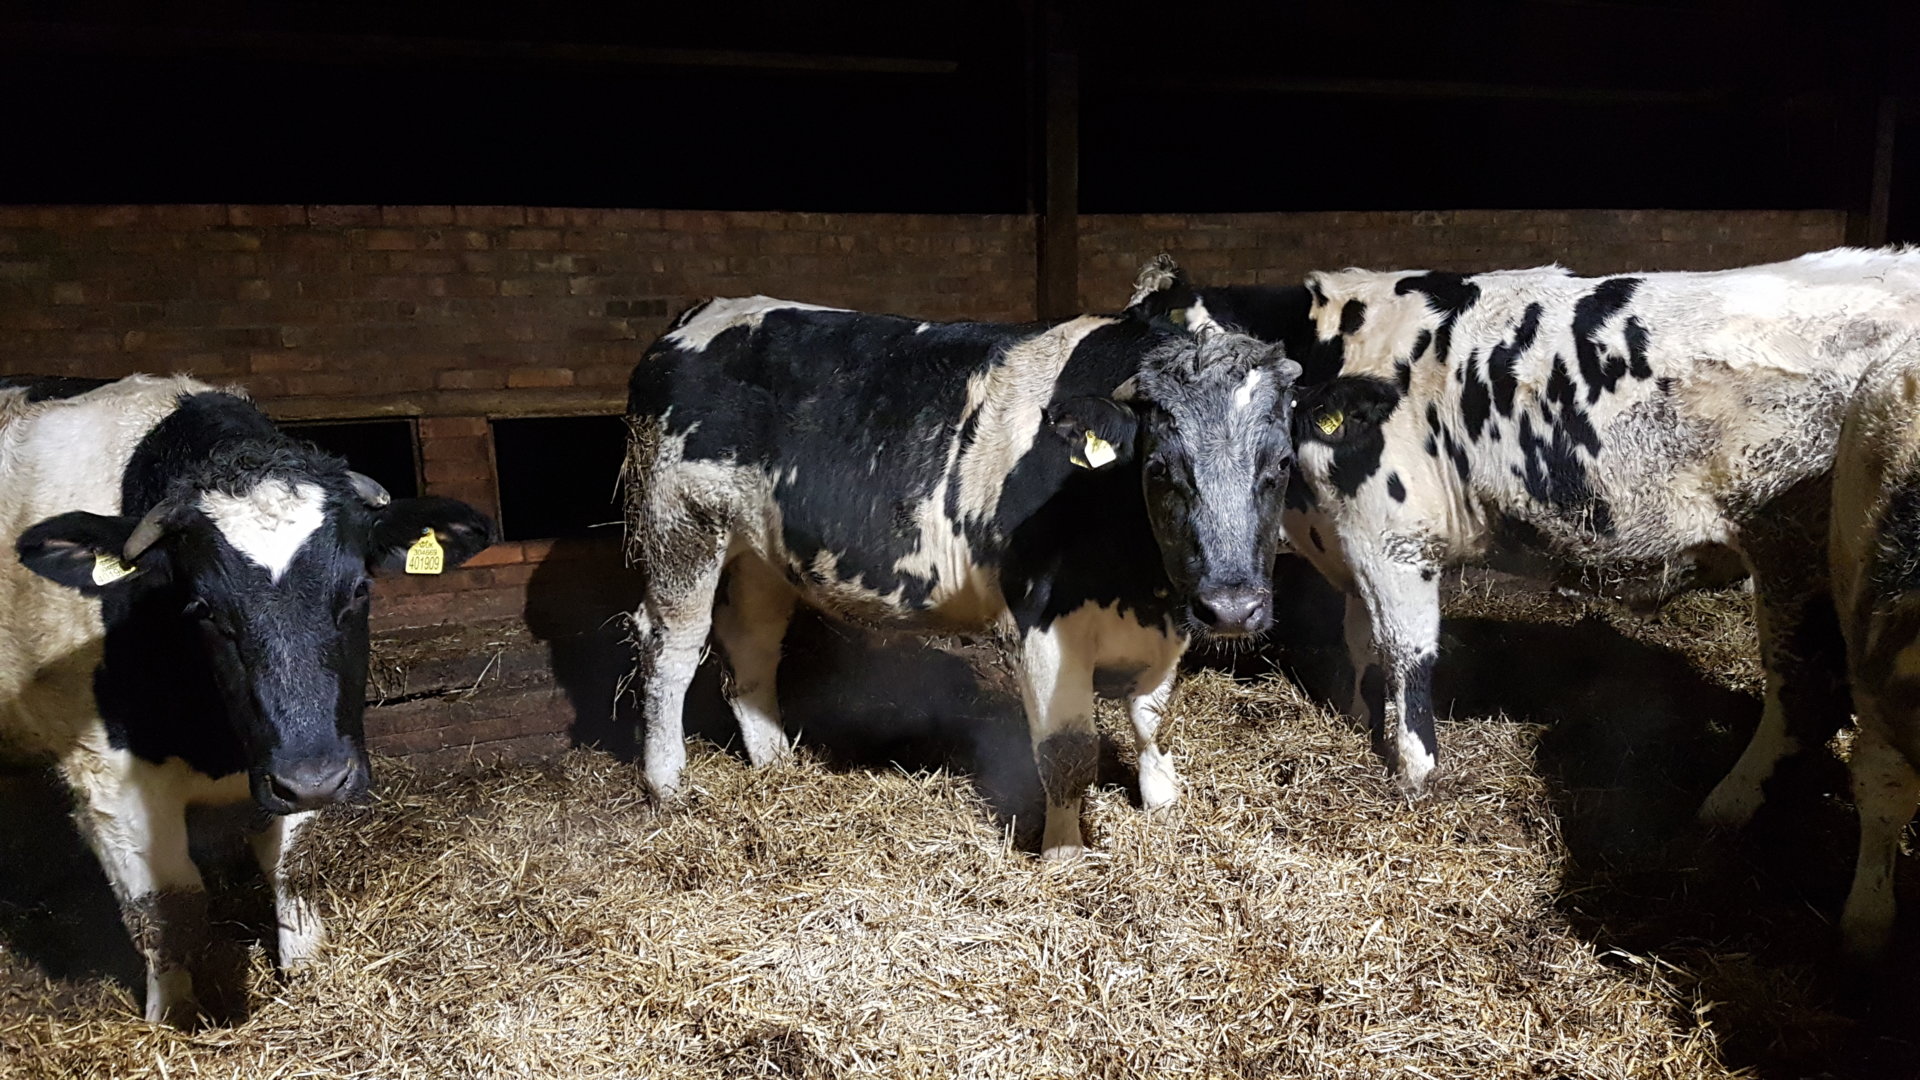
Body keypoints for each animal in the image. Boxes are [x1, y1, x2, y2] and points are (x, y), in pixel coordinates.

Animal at [0, 374, 494, 1024]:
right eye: (203, 608)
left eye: (358, 589)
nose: (313, 778)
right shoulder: (104, 778)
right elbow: (167, 909)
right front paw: (176, 1022)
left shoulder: (306, 758)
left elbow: (292, 873)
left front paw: (306, 976)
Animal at [623, 297, 1300, 859]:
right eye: (1159, 467)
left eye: (1282, 465)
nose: (1232, 608)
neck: (1138, 585)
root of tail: (696, 316)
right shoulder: (1042, 622)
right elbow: (1067, 753)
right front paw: (1063, 855)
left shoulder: (1169, 621)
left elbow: (1151, 717)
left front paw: (1162, 799)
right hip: (680, 524)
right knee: (671, 649)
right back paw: (668, 785)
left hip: (761, 554)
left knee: (752, 649)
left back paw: (775, 765)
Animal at [1131, 249, 1920, 831]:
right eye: (1157, 423)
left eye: (1265, 436)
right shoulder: (1352, 538)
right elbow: (1360, 644)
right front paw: (1358, 721)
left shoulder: (1395, 538)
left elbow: (1406, 655)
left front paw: (1414, 772)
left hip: (1793, 552)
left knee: (1800, 688)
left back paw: (1727, 803)